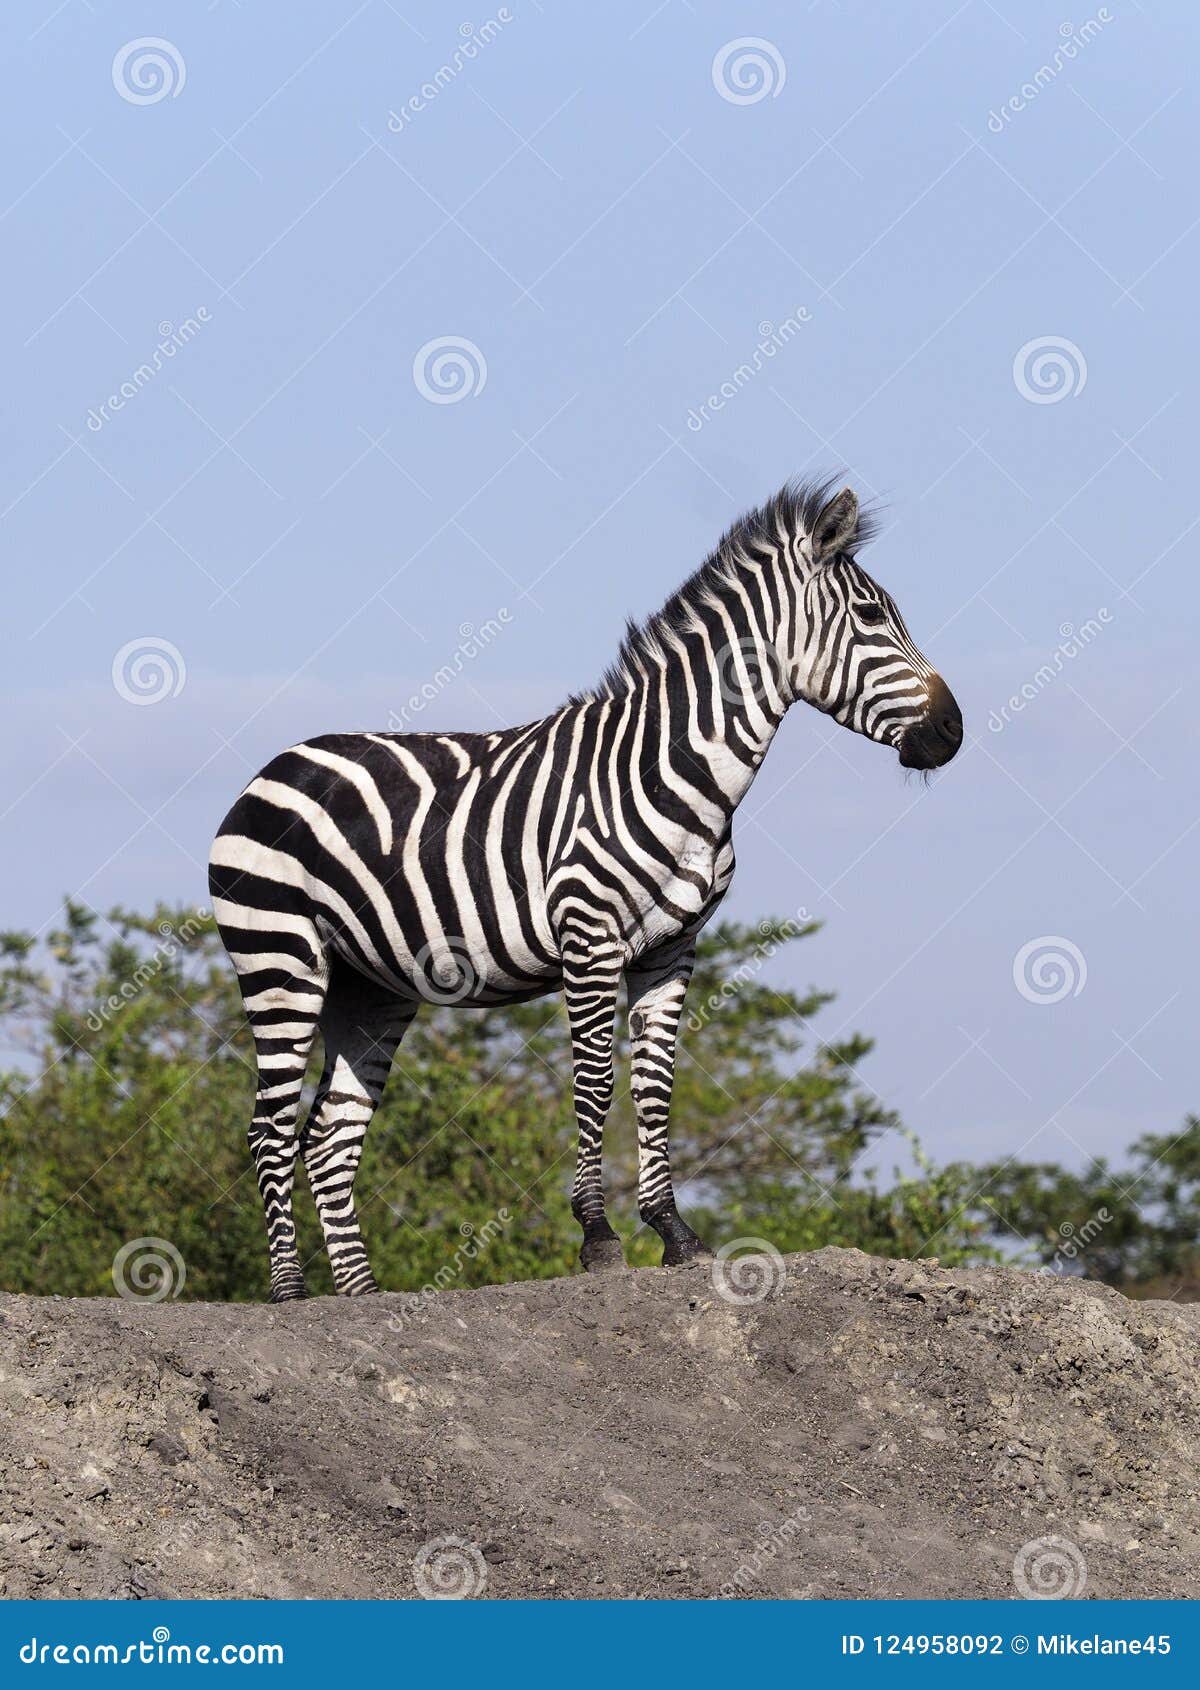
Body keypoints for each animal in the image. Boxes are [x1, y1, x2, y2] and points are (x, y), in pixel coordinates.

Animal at [209, 479, 962, 1300]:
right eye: (872, 618)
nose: (952, 732)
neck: (677, 770)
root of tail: (274, 766)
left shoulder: (673, 949)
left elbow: (655, 1086)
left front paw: (675, 1233)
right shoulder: (589, 938)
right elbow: (597, 1083)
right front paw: (598, 1236)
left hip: (369, 983)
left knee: (328, 1137)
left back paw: (361, 1299)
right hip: (281, 957)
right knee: (269, 1131)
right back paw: (290, 1292)